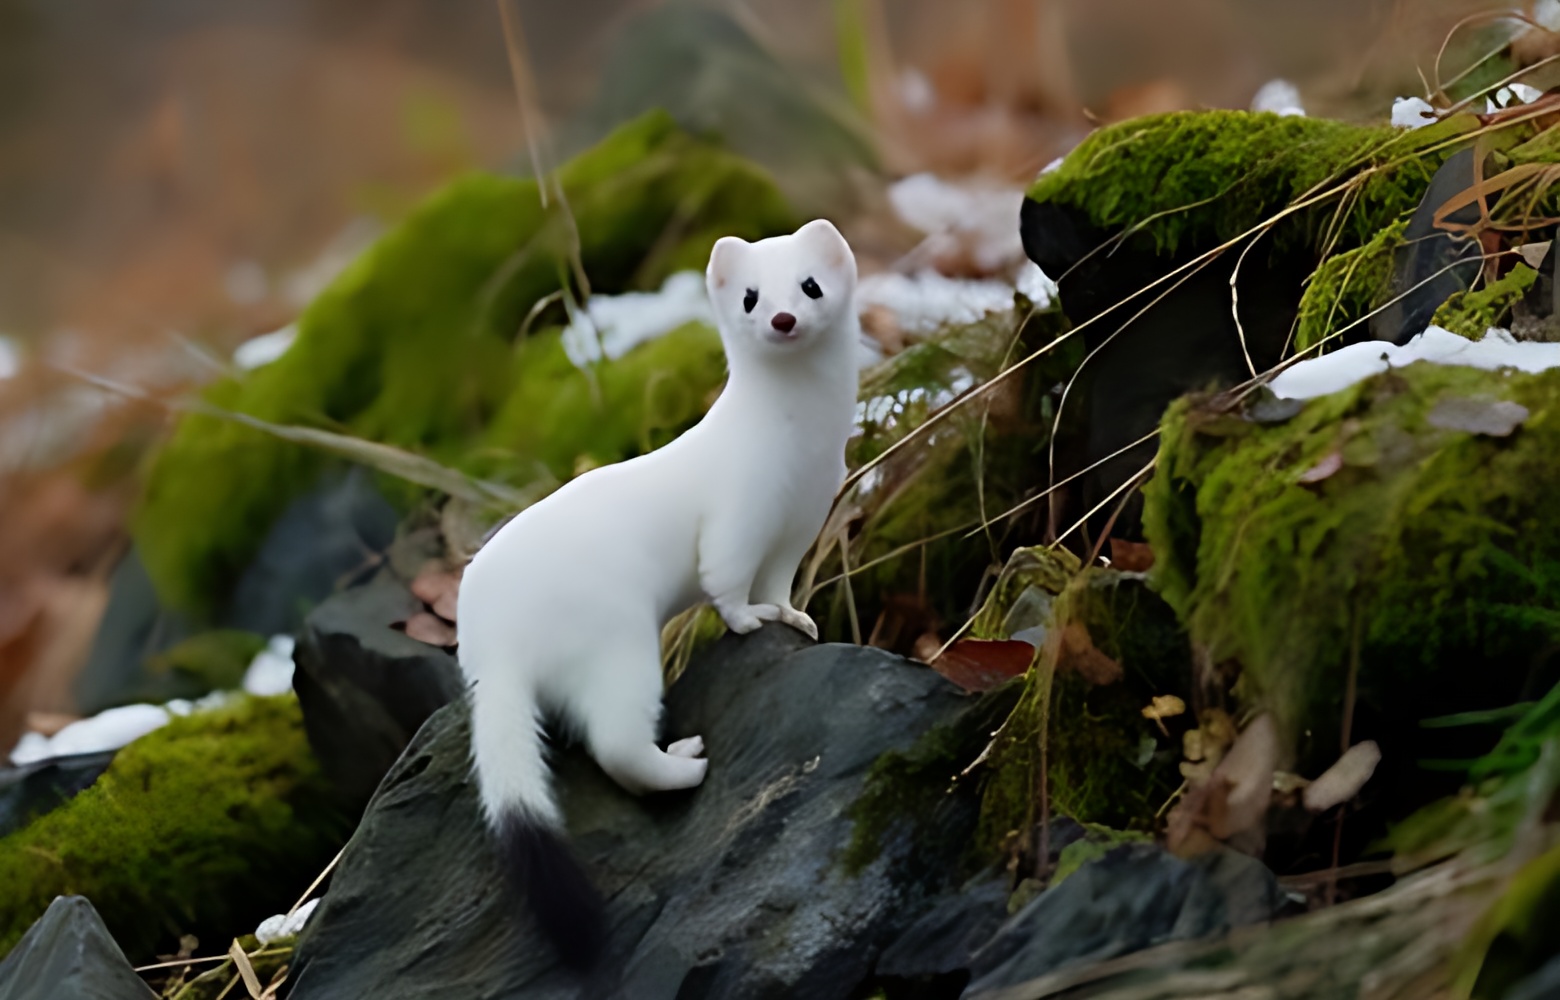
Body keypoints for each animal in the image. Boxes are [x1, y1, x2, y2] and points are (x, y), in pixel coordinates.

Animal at [455, 218, 861, 970]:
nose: (783, 318)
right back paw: (684, 762)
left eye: (812, 284)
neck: (802, 451)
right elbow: (727, 579)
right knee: (615, 743)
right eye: (751, 296)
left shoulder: (804, 519)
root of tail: (491, 645)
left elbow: (781, 578)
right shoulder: (740, 514)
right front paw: (750, 620)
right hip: (615, 638)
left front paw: (794, 616)